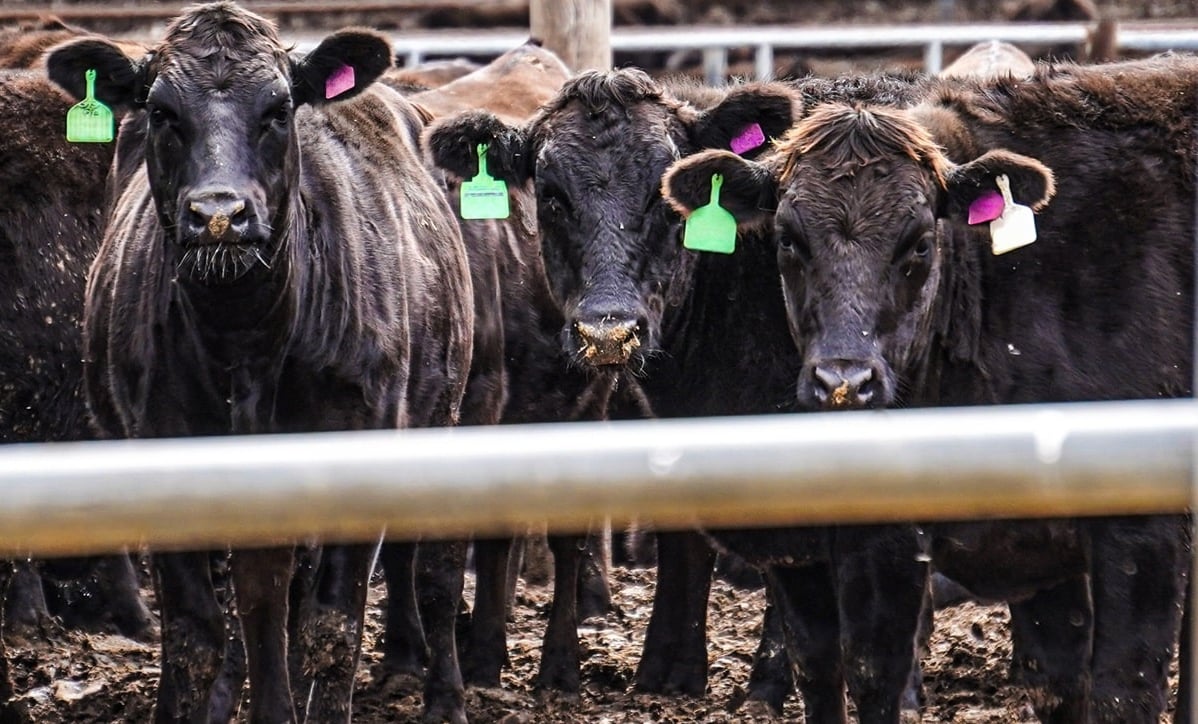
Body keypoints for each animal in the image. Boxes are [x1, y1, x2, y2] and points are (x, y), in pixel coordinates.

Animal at [46, 3, 474, 722]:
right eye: (161, 110)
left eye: (277, 108)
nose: (219, 214)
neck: (244, 340)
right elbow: (203, 631)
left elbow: (327, 630)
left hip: (441, 413)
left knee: (425, 575)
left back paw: (444, 697)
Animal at [663, 54, 1195, 722]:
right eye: (787, 239)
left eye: (918, 241)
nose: (844, 382)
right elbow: (879, 675)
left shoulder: (1143, 533)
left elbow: (1124, 690)